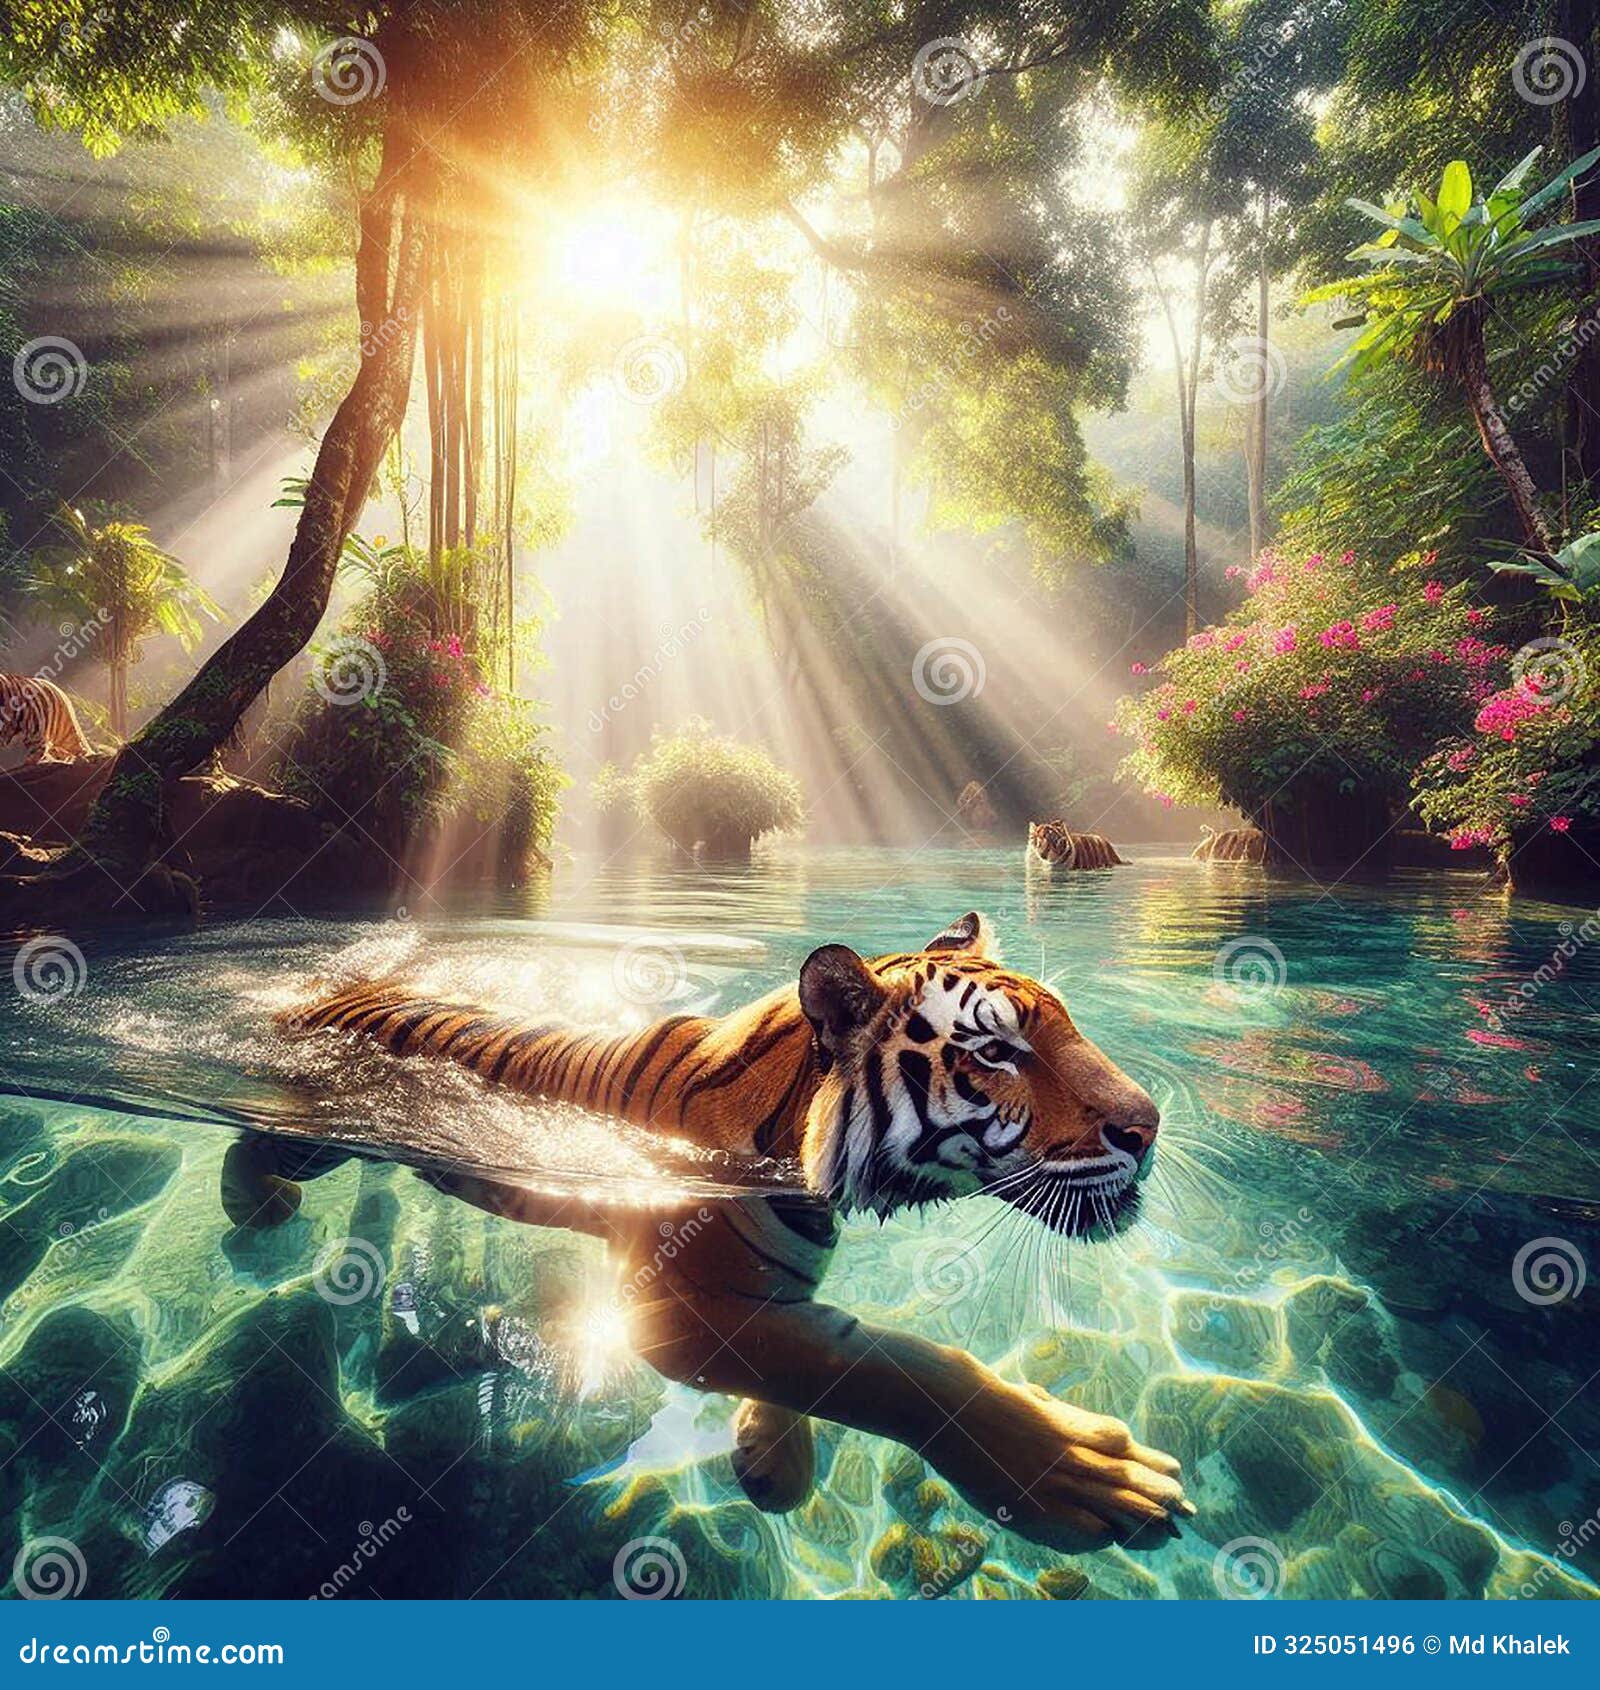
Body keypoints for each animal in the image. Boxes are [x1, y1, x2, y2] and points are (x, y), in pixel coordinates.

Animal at [230, 910, 1192, 1553]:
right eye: (995, 1054)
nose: (1149, 1127)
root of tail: (327, 989)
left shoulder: (766, 1294)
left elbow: (817, 1355)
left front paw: (773, 1463)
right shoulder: (672, 1311)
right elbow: (887, 1371)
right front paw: (1077, 1469)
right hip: (315, 1139)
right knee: (258, 1145)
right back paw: (256, 1212)